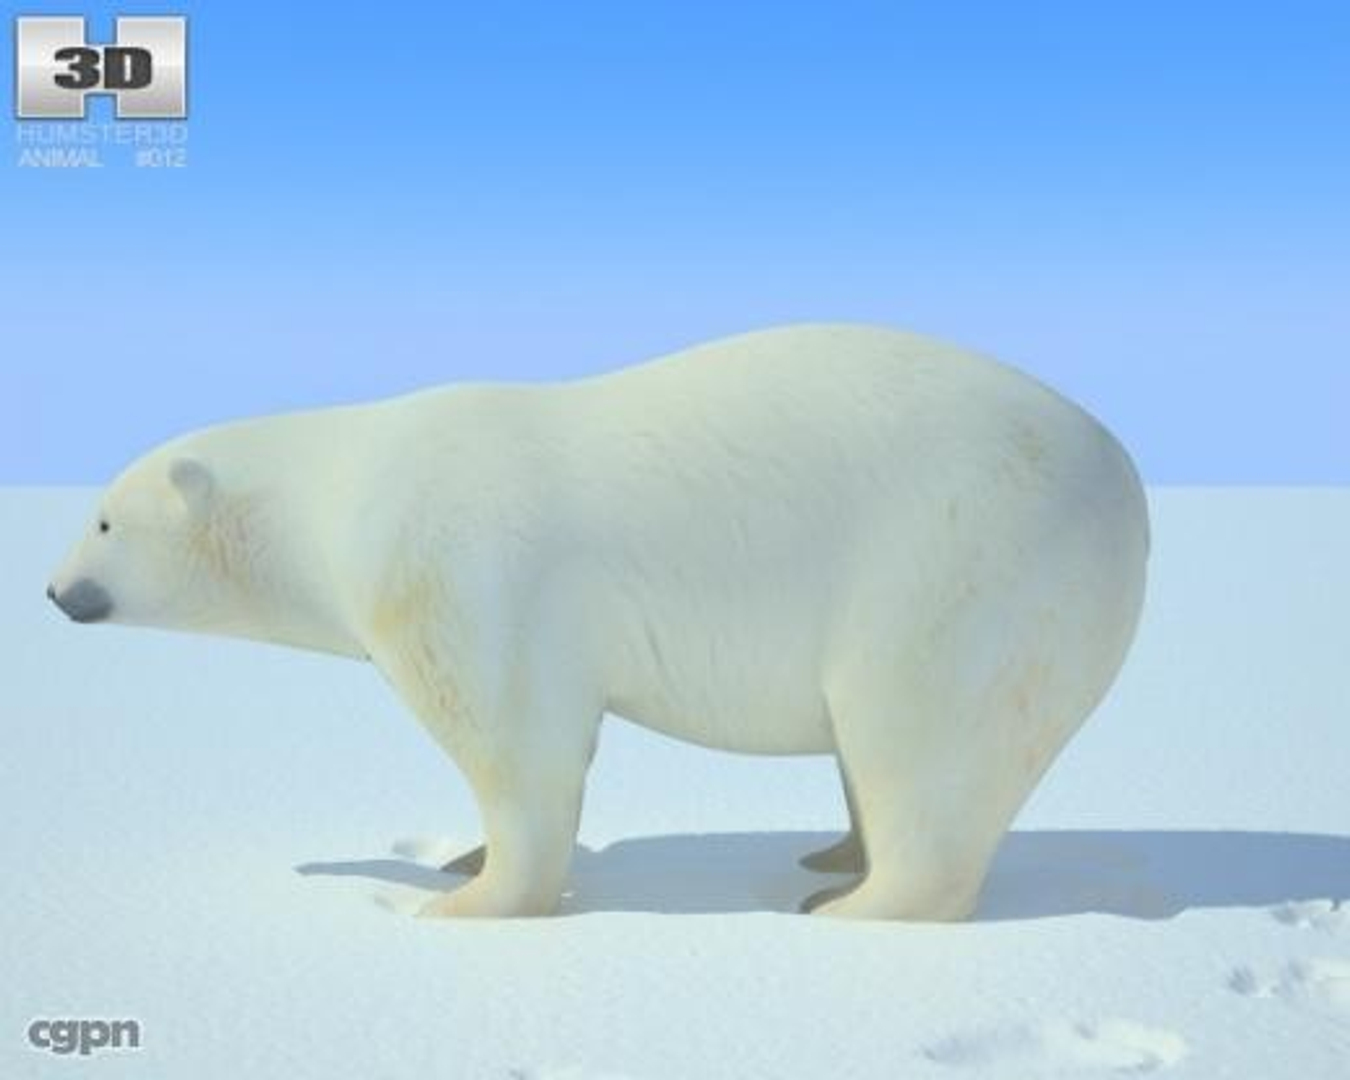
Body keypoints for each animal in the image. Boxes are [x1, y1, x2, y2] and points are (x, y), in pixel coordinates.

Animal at [48, 323, 1149, 921]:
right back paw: (837, 853)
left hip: (960, 568)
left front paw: (462, 900)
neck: (340, 488)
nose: (56, 593)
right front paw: (458, 858)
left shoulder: (455, 571)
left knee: (918, 742)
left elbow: (519, 748)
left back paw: (850, 903)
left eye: (100, 518)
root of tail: (1124, 475)